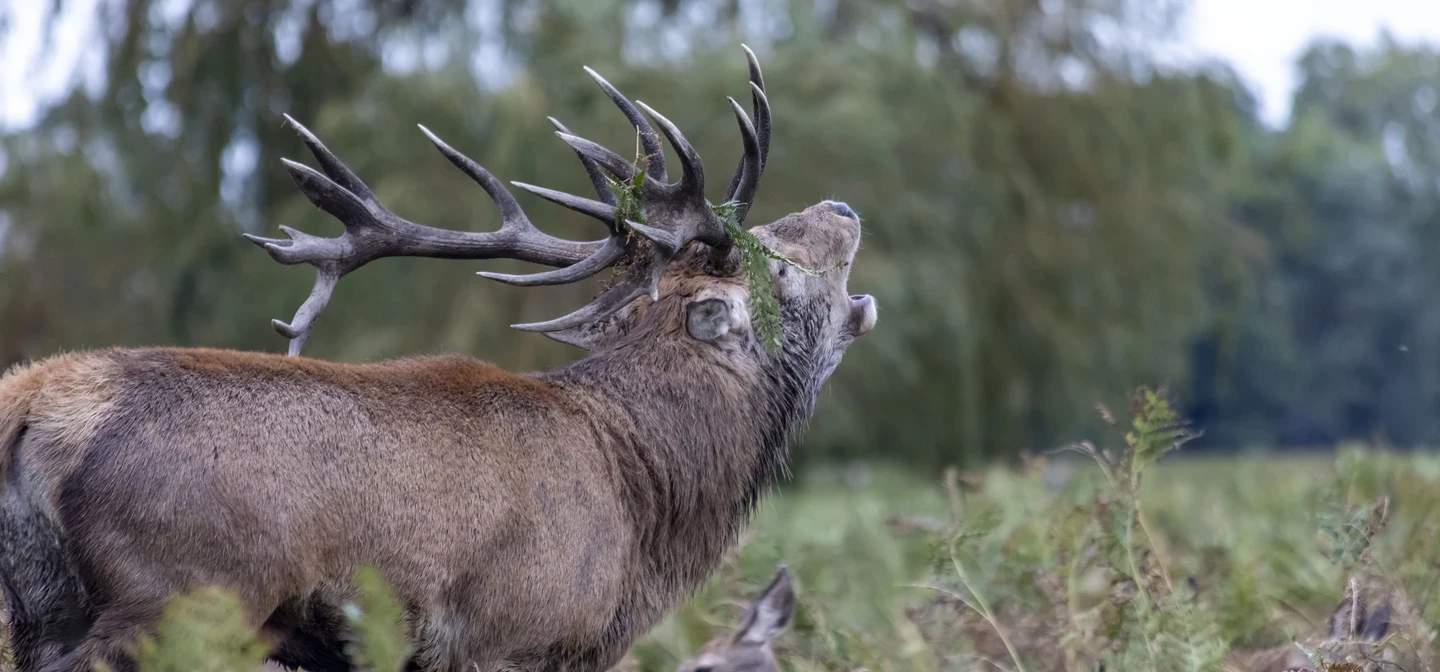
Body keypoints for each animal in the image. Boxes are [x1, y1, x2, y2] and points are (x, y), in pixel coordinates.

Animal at [0, 45, 878, 672]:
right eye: (776, 266)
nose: (844, 205)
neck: (644, 502)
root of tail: (30, 403)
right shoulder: (514, 633)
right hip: (177, 598)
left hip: (45, 607)